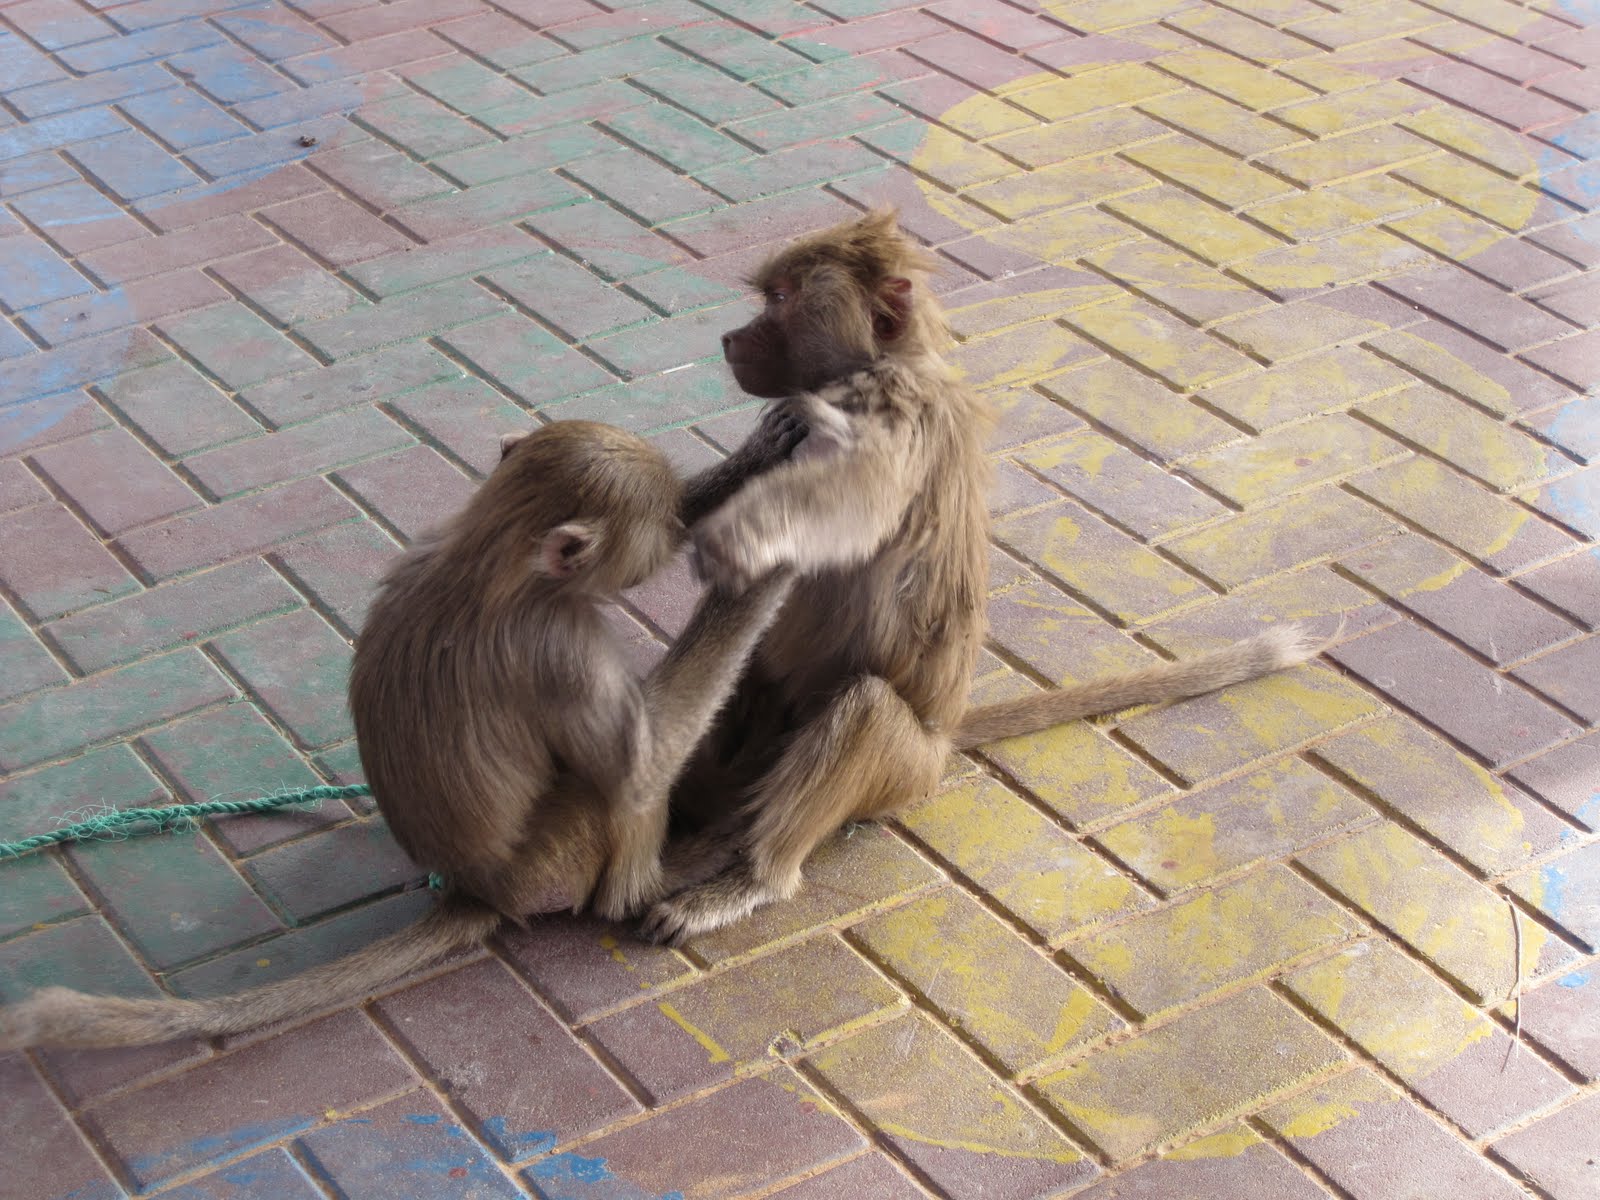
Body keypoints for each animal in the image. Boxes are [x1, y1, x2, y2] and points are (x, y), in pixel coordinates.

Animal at [0, 417, 802, 1050]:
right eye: (658, 536)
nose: (674, 539)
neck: (490, 554)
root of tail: (480, 890)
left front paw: (765, 457)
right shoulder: (560, 647)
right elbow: (639, 766)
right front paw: (771, 564)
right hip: (562, 856)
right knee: (614, 791)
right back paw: (652, 885)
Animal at [642, 209, 1328, 944]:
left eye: (780, 298)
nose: (730, 339)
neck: (886, 362)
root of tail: (944, 740)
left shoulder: (888, 406)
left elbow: (858, 496)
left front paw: (739, 539)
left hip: (903, 769)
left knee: (866, 709)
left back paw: (753, 879)